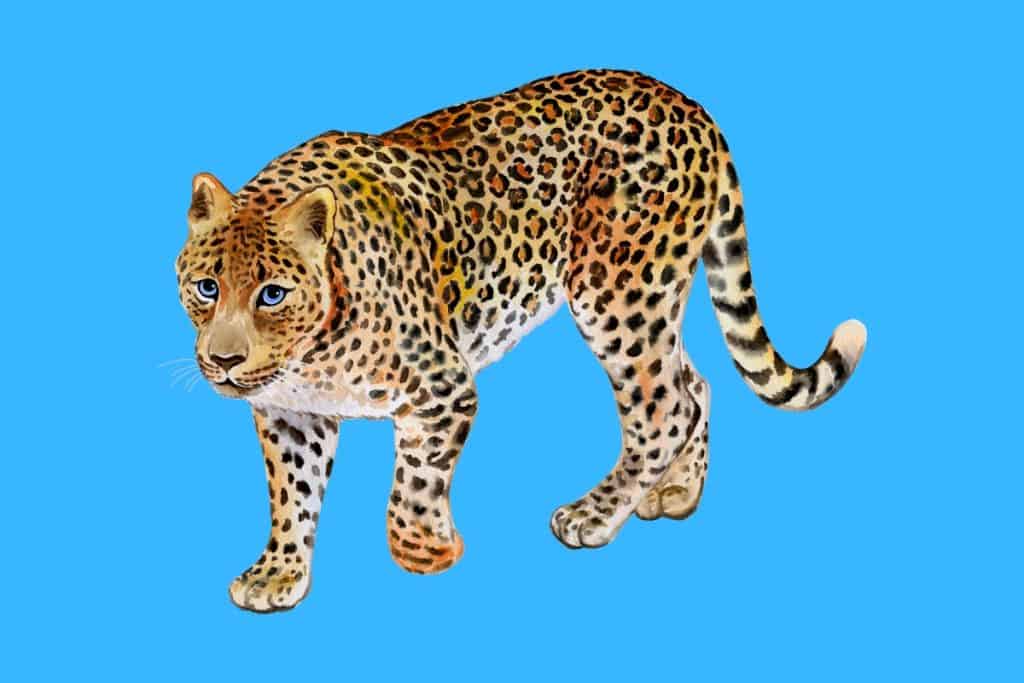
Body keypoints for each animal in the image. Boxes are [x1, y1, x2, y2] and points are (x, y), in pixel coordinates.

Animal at [175, 69, 866, 612]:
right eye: (207, 288)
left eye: (272, 294)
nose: (224, 362)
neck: (312, 348)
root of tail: (688, 104)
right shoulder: (290, 412)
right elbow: (292, 494)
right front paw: (279, 574)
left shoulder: (441, 388)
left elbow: (412, 485)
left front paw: (428, 552)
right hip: (654, 299)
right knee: (694, 385)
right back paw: (675, 492)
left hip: (620, 294)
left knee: (664, 407)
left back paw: (594, 513)